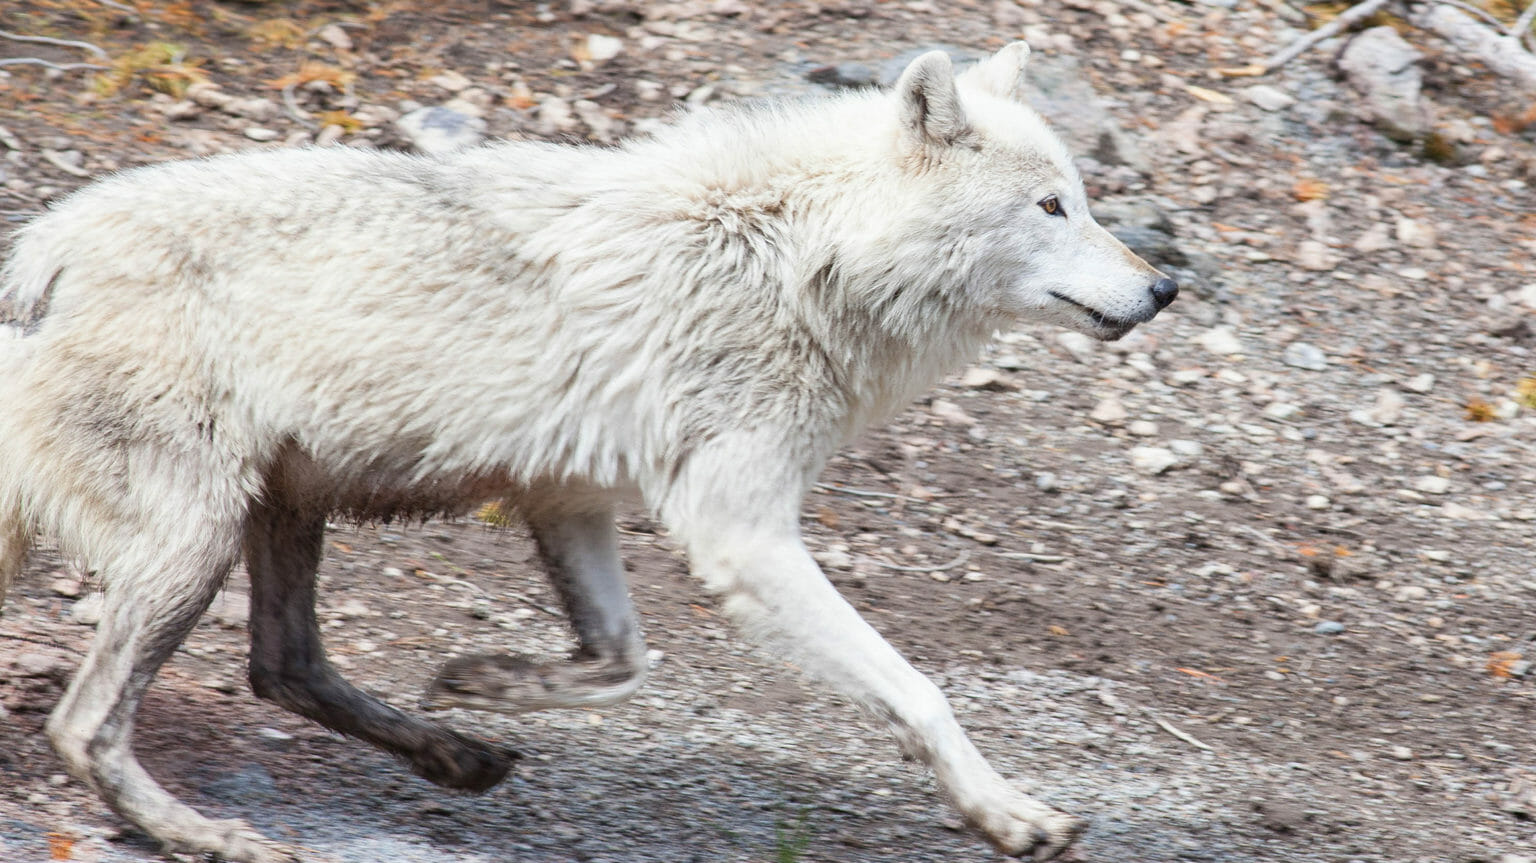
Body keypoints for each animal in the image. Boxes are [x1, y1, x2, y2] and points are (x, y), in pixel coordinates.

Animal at [0, 42, 1175, 862]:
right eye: (1052, 205)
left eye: (1084, 199)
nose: (1164, 286)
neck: (799, 257)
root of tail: (45, 248)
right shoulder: (740, 533)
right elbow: (919, 689)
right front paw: (1008, 813)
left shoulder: (572, 499)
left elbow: (620, 658)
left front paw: (486, 678)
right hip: (196, 543)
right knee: (87, 722)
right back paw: (202, 833)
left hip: (283, 510)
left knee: (282, 665)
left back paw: (453, 750)